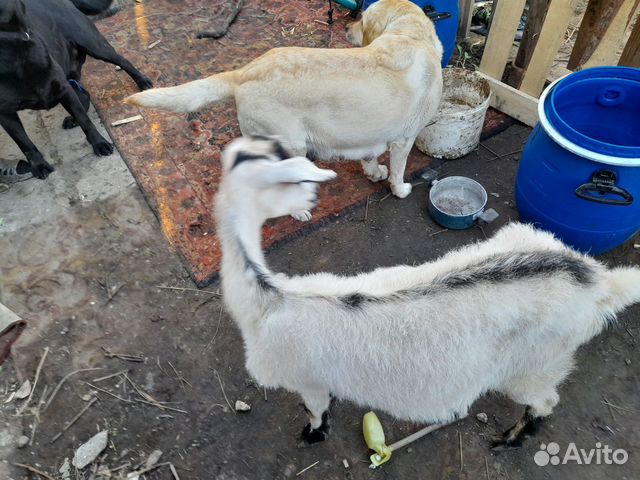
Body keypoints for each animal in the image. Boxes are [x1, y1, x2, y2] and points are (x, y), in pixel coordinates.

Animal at [216, 136, 640, 446]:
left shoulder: (307, 380)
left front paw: (313, 434)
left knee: (545, 402)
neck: (269, 297)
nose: (309, 201)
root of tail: (596, 281)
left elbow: (315, 410)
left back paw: (510, 439)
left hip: (536, 365)